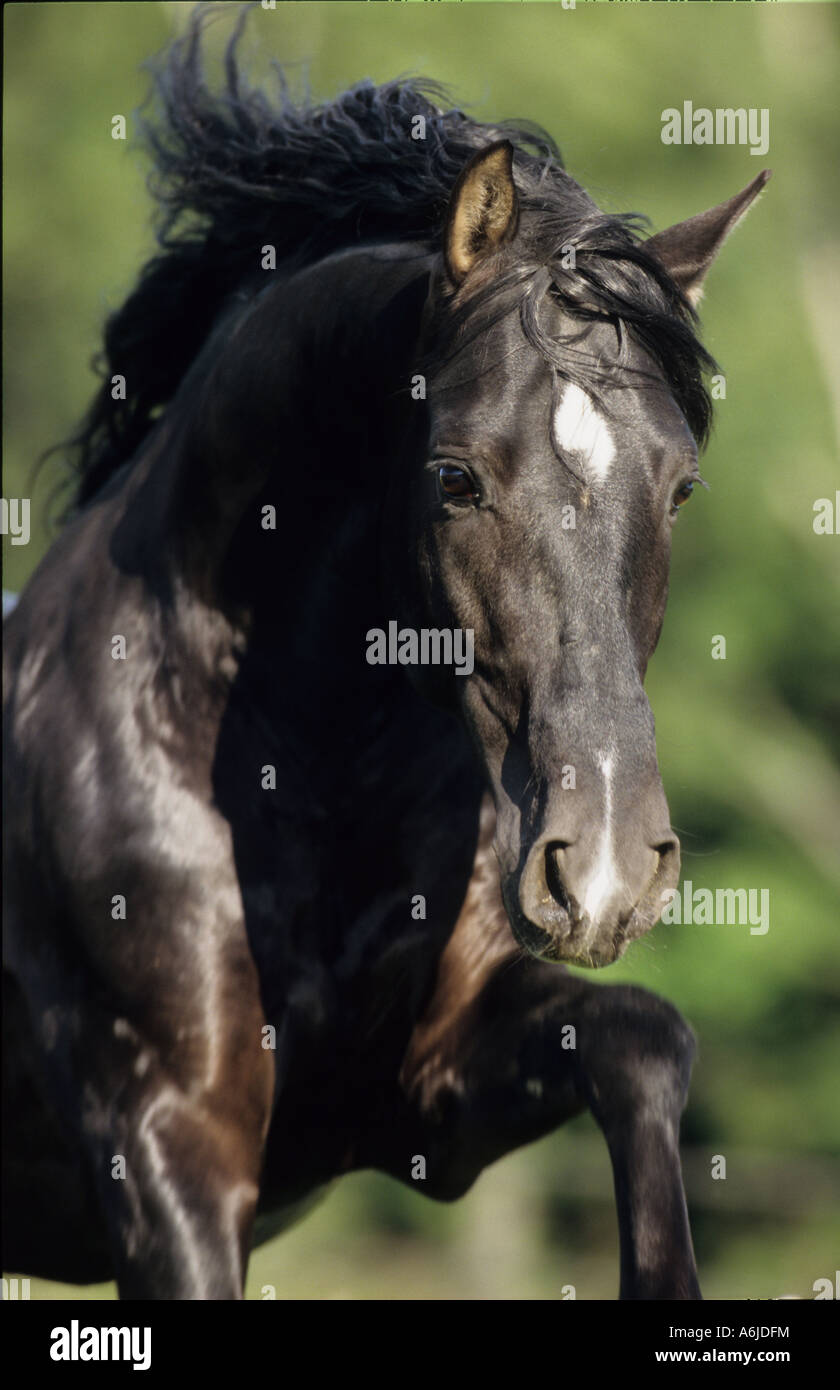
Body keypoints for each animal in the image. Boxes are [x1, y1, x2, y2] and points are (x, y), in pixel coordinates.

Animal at [2, 12, 769, 1300]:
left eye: (681, 488)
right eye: (455, 476)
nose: (608, 867)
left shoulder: (423, 1102)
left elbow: (644, 1038)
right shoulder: (165, 1153)